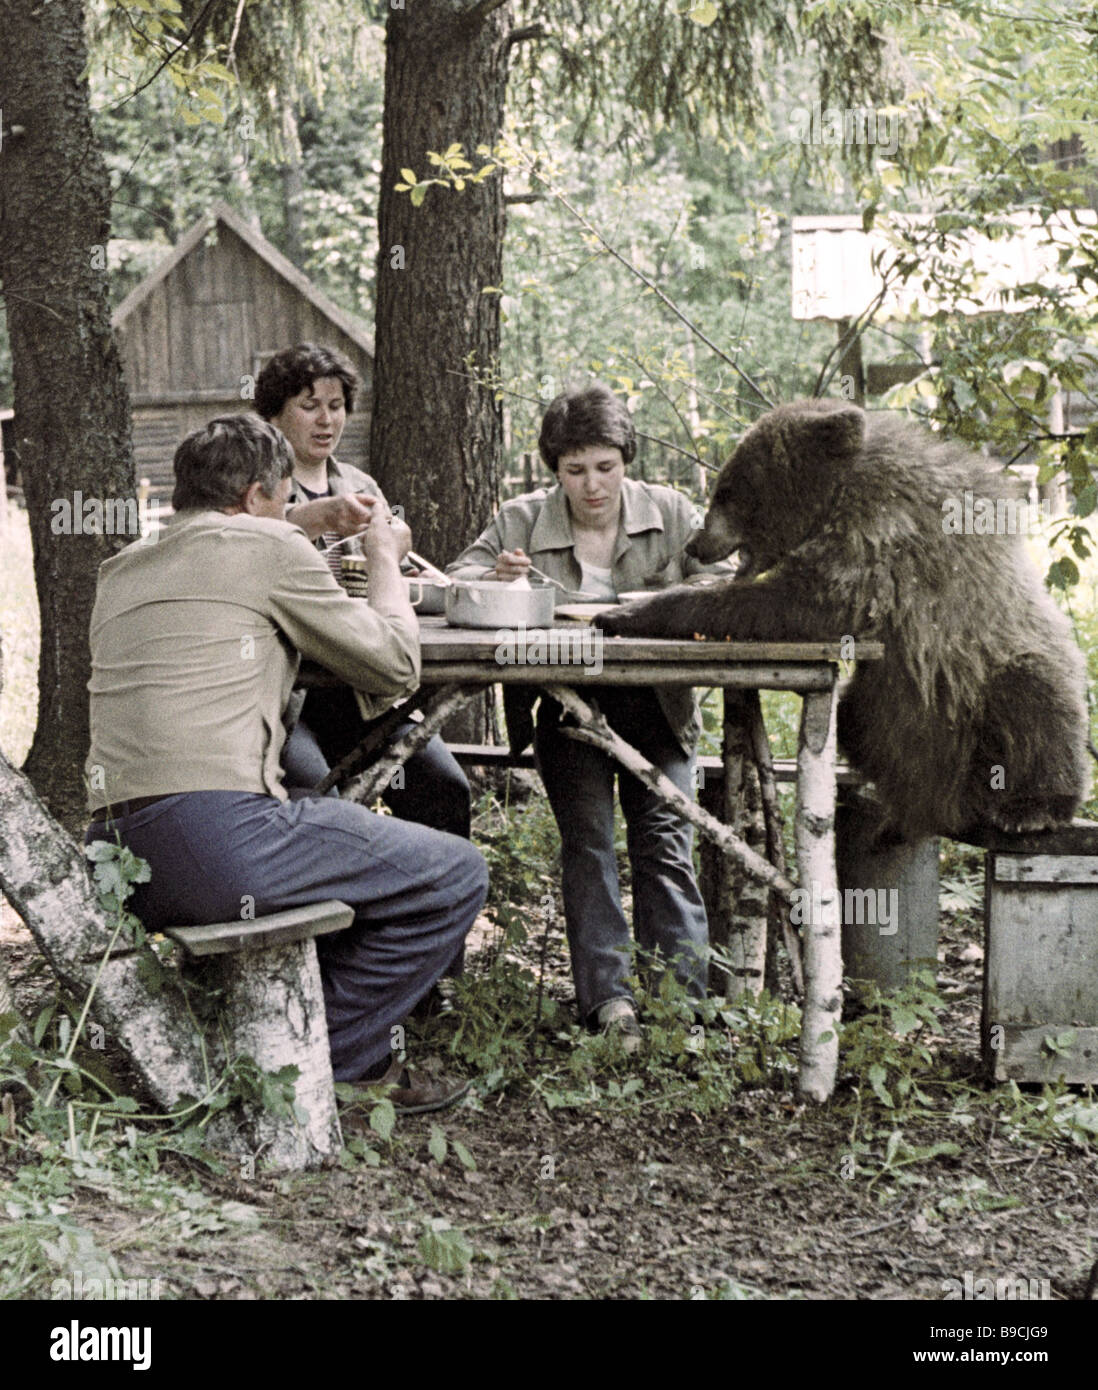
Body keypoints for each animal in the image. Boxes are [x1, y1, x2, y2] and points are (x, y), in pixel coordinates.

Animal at [597, 398, 1092, 841]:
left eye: (728, 490)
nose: (695, 543)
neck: (836, 496)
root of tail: (940, 807)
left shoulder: (880, 534)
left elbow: (802, 601)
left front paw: (629, 609)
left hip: (992, 673)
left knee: (1035, 698)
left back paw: (1032, 807)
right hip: (885, 710)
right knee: (858, 716)